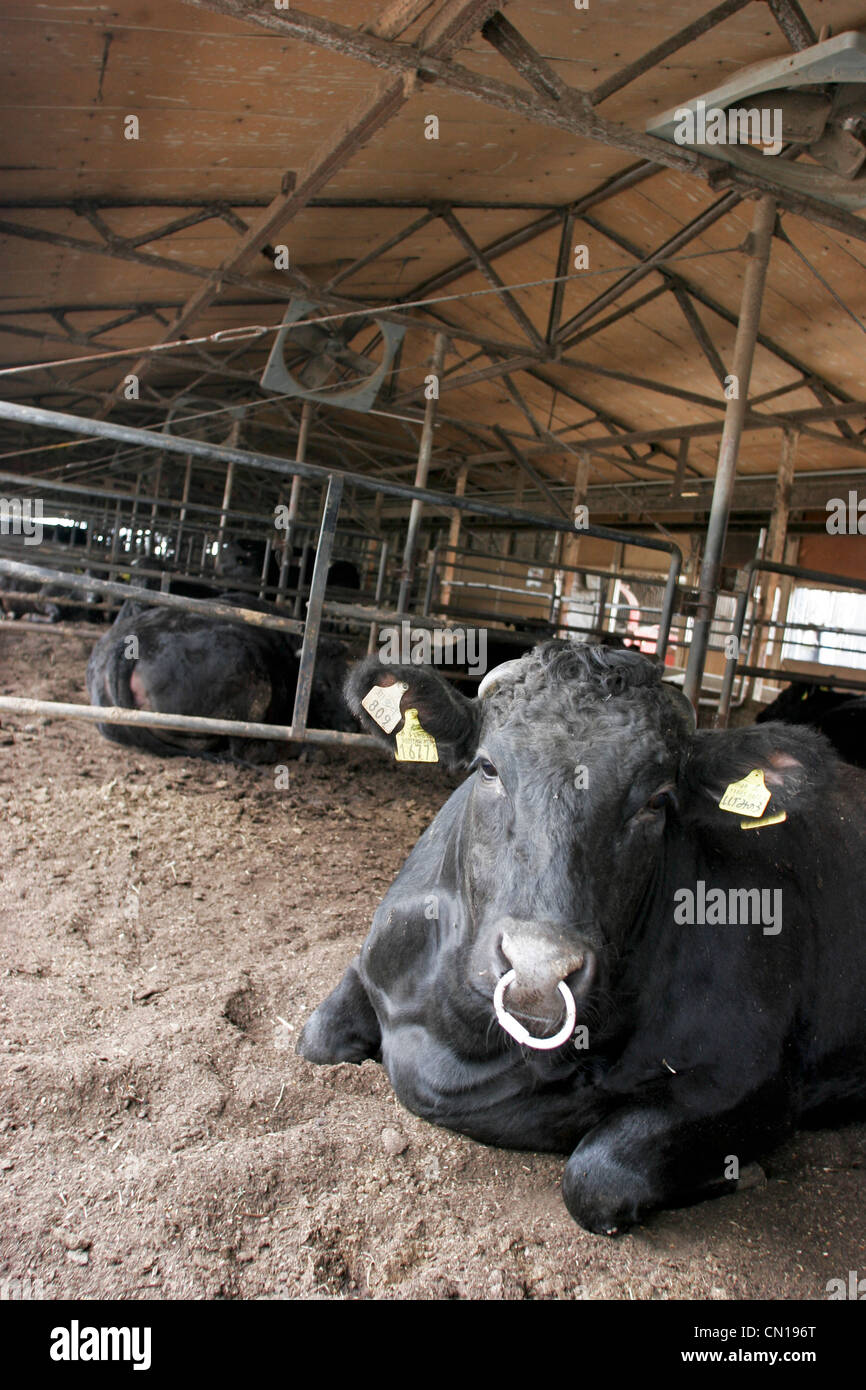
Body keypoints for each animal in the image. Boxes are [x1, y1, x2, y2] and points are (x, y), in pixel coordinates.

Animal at [299, 641, 866, 1233]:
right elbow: (318, 1036)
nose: (537, 970)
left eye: (657, 799)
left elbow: (597, 1176)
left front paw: (742, 1173)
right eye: (487, 767)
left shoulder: (751, 1076)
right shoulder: (376, 959)